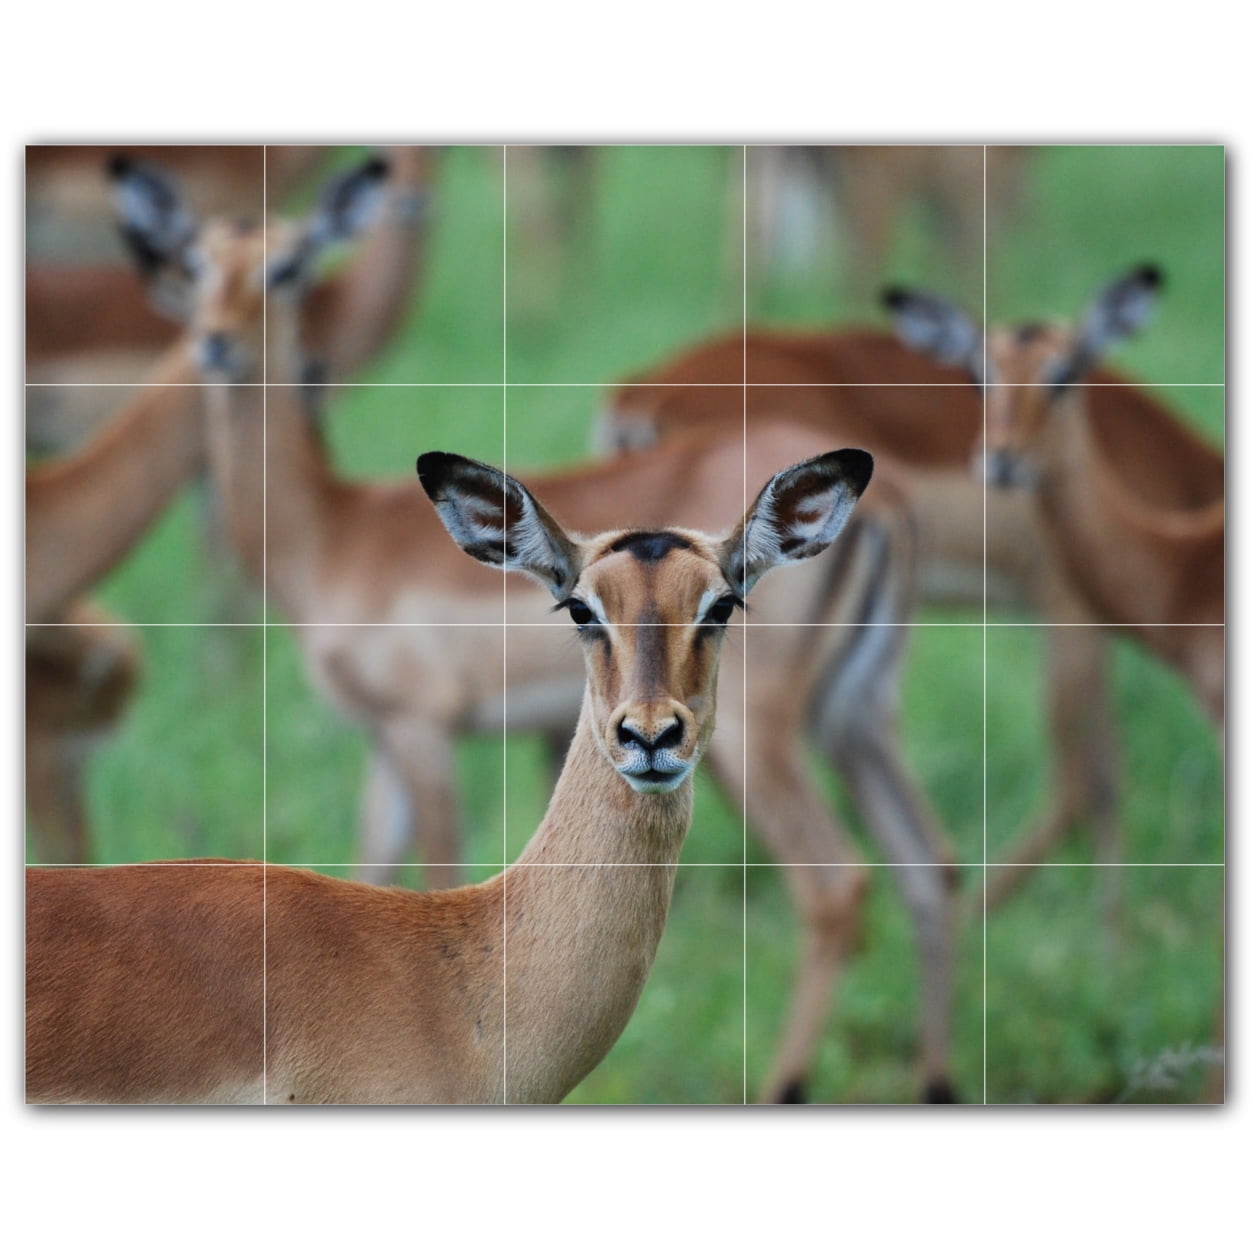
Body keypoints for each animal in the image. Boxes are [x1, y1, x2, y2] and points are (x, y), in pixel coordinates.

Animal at [115, 154, 965, 1103]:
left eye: (289, 265)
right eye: (193, 264)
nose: (216, 343)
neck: (334, 531)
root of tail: (886, 503)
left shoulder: (424, 731)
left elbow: (436, 872)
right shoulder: (383, 744)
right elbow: (373, 870)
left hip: (762, 737)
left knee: (836, 882)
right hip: (858, 718)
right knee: (931, 867)